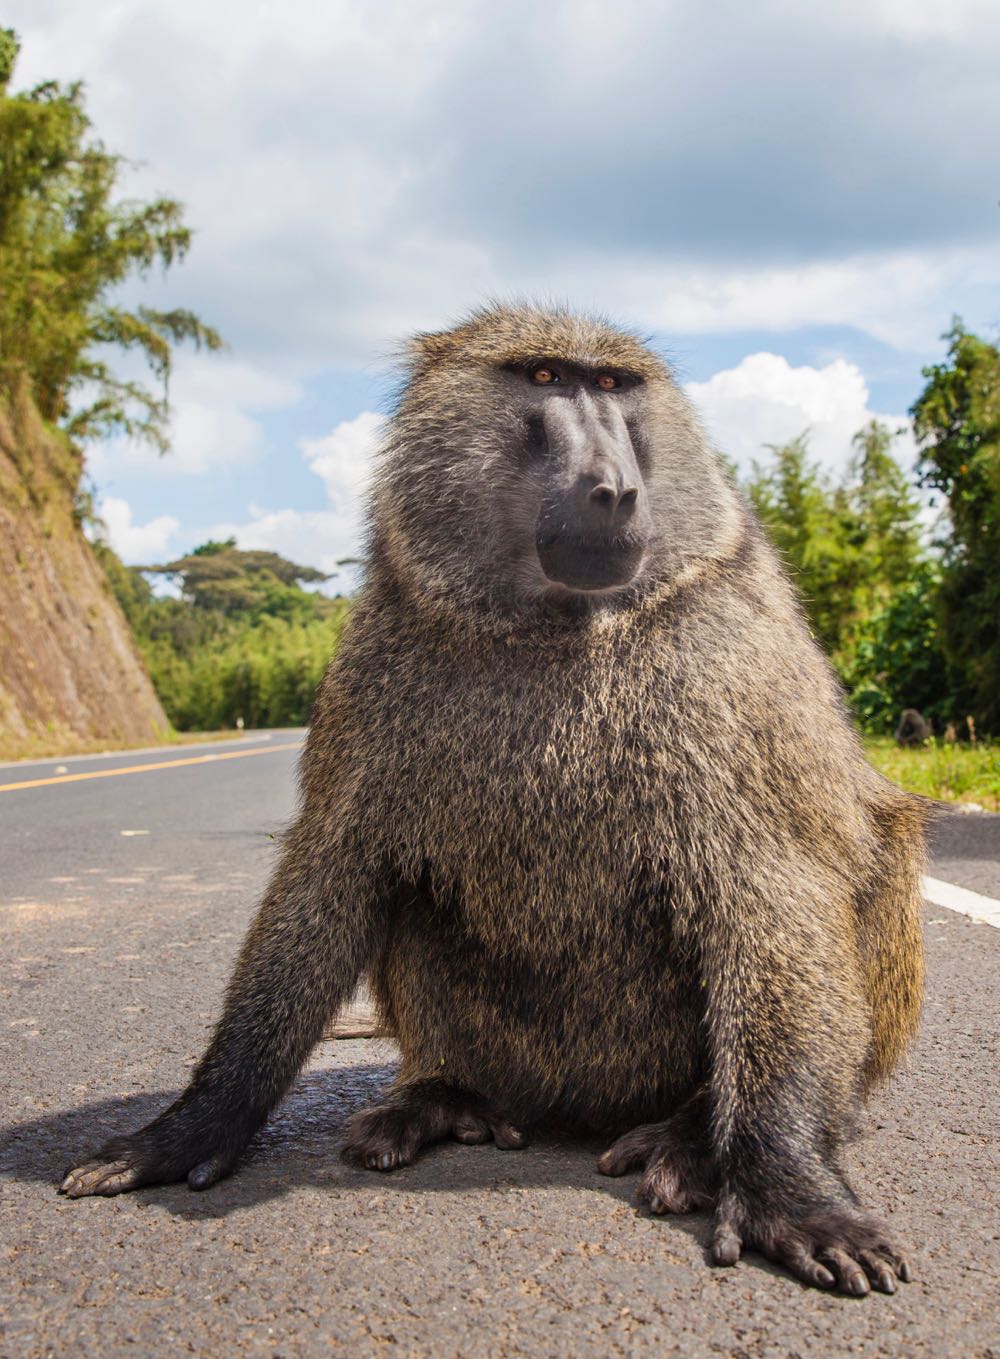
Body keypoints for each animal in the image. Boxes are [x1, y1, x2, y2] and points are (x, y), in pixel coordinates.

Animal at [61, 303, 926, 1297]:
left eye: (614, 385)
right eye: (546, 379)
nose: (613, 489)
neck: (551, 622)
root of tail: (574, 1109)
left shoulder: (725, 656)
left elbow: (771, 884)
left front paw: (790, 1187)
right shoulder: (380, 657)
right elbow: (333, 871)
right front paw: (194, 1124)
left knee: (881, 843)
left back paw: (694, 1135)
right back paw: (446, 1096)